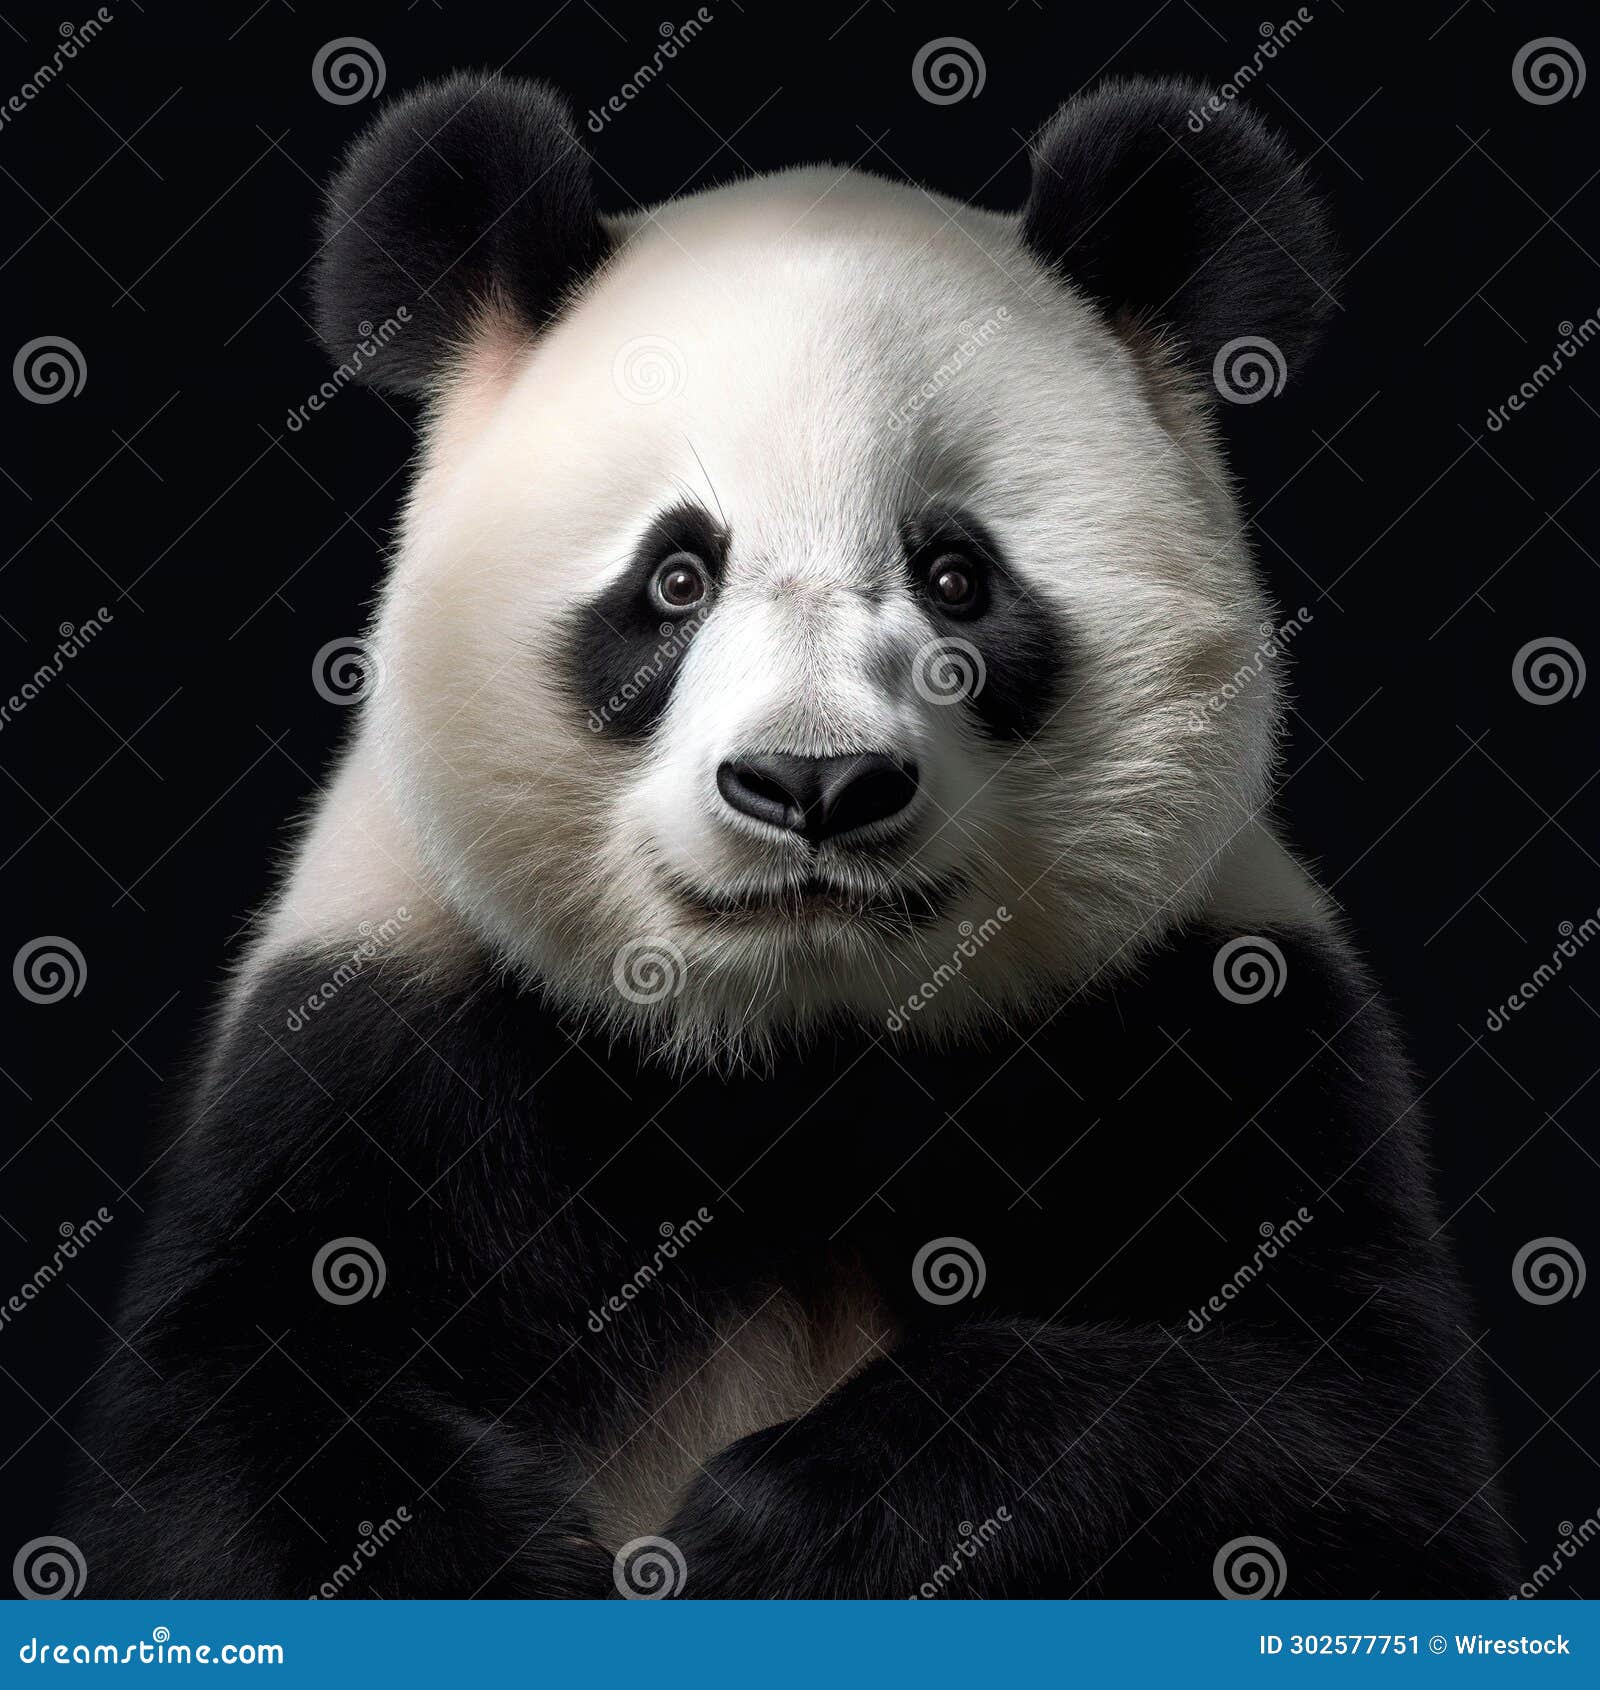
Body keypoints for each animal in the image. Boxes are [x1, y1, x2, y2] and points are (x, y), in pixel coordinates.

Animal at [67, 73, 1515, 1599]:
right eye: (675, 578)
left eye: (957, 576)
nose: (812, 785)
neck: (795, 1060)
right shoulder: (387, 1038)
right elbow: (217, 1436)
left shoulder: (1223, 1020)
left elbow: (1348, 1445)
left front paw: (798, 1510)